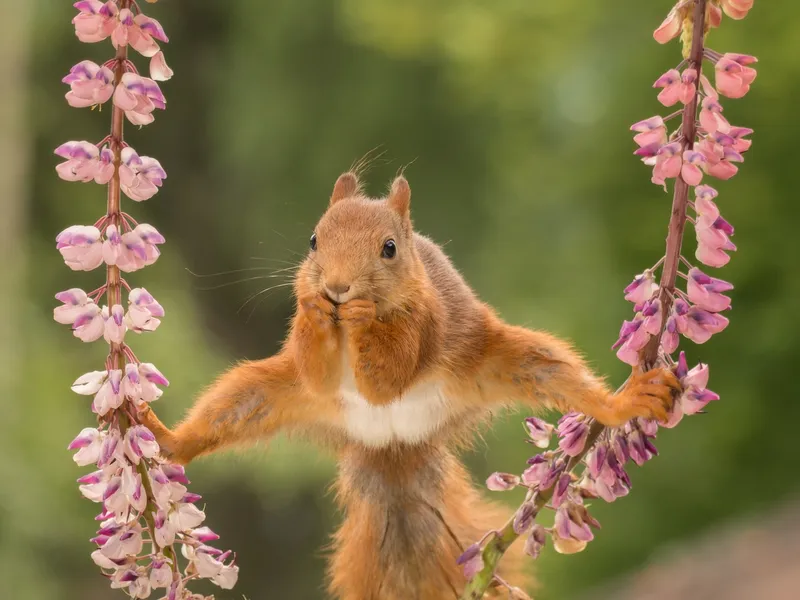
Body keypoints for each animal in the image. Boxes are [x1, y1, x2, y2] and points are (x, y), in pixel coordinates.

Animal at [139, 172, 679, 600]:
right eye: (313, 240)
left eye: (390, 249)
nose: (337, 289)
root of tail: (394, 444)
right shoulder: (310, 370)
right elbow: (316, 371)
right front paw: (315, 310)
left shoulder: (426, 324)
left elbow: (389, 375)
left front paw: (360, 317)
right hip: (264, 393)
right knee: (230, 409)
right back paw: (167, 439)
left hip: (503, 360)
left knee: (556, 372)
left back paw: (624, 402)